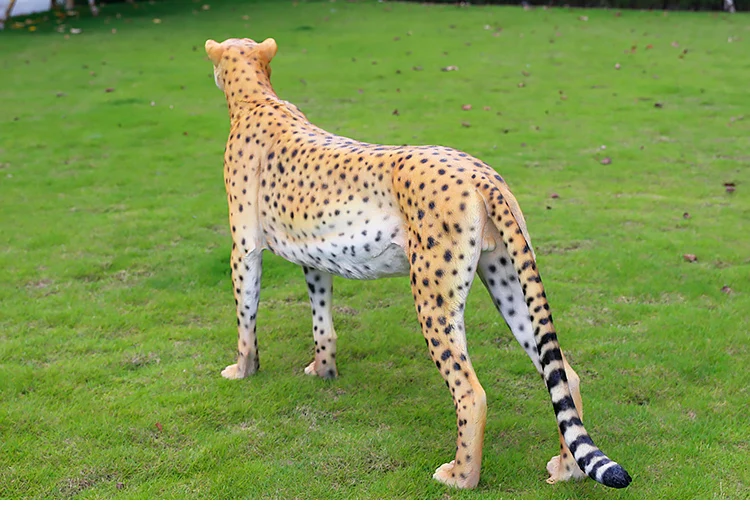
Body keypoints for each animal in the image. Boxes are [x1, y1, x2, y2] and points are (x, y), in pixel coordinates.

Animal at [204, 36, 632, 490]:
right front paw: (323, 370)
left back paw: (460, 476)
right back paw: (567, 469)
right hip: (508, 281)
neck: (256, 97)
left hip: (432, 296)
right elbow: (322, 320)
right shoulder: (315, 259)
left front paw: (242, 370)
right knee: (564, 373)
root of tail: (479, 173)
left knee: (470, 392)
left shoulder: (244, 250)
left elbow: (245, 317)